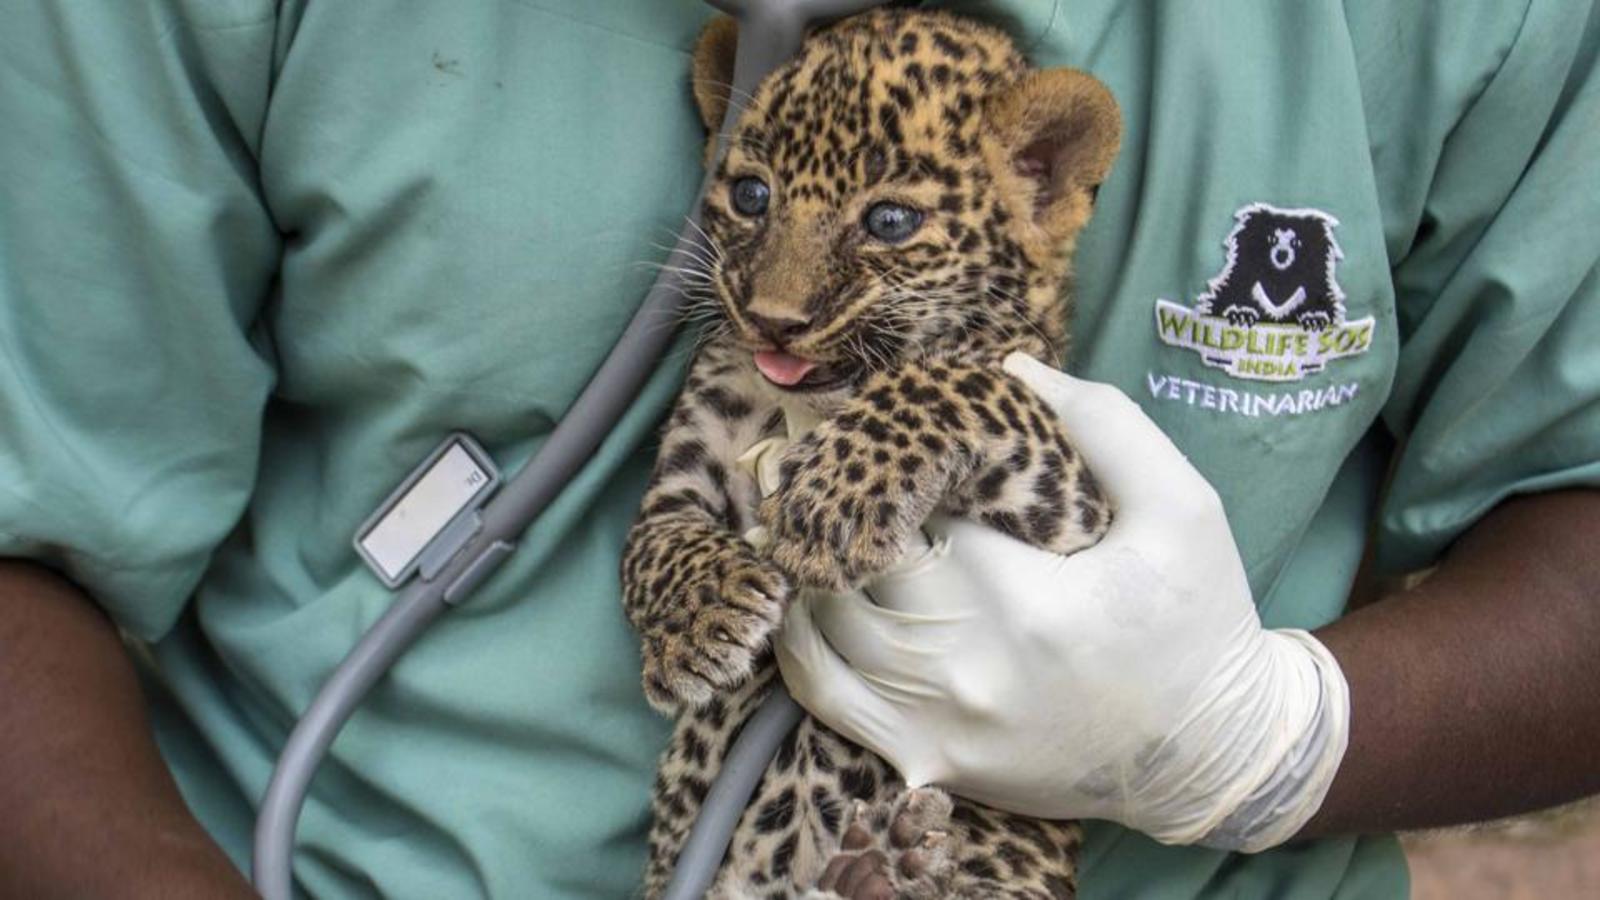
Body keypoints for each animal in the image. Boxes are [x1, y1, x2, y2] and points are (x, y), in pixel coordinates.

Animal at [621, 9, 1122, 898]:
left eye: (890, 222)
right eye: (751, 196)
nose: (773, 320)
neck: (807, 406)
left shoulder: (1075, 508)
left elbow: (956, 379)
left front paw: (830, 500)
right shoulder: (687, 470)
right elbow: (651, 544)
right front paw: (703, 618)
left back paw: (886, 861)